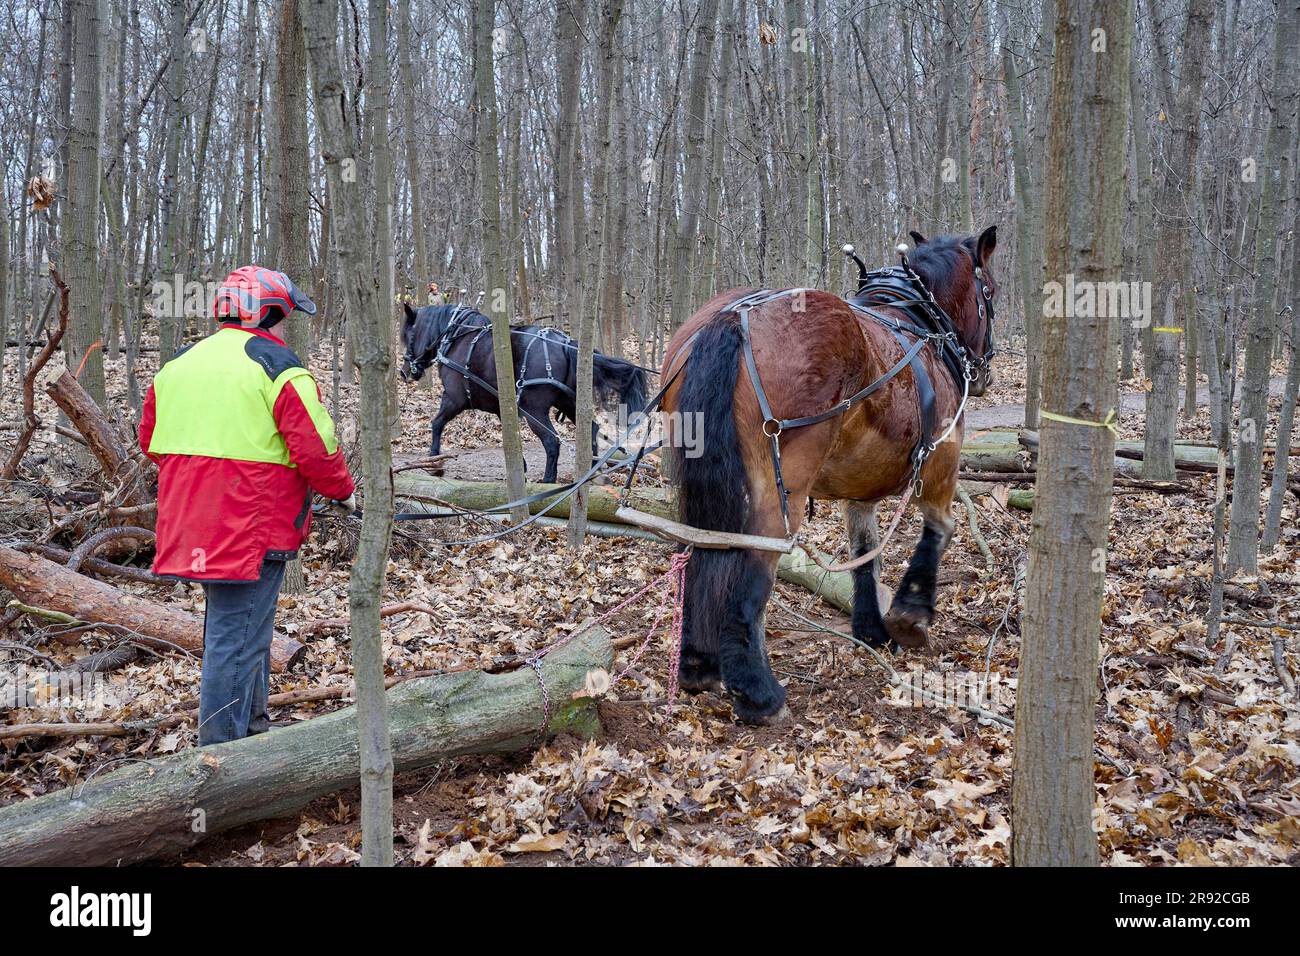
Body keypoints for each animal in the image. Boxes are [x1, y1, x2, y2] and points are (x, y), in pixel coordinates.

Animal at [400, 303, 649, 484]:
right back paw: (590, 472)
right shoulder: (504, 407)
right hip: (568, 402)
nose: (404, 372)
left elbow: (437, 423)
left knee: (551, 441)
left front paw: (434, 461)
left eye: (408, 337)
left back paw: (549, 481)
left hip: (534, 409)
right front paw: (521, 466)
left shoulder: (454, 398)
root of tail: (566, 344)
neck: (456, 337)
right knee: (591, 431)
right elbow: (510, 437)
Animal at [660, 227, 999, 725]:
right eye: (988, 291)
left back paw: (698, 664)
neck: (920, 323)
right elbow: (940, 527)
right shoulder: (942, 456)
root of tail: (731, 317)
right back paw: (758, 692)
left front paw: (872, 629)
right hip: (781, 486)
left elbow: (865, 553)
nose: (986, 365)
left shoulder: (862, 489)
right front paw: (910, 615)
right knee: (754, 566)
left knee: (700, 547)